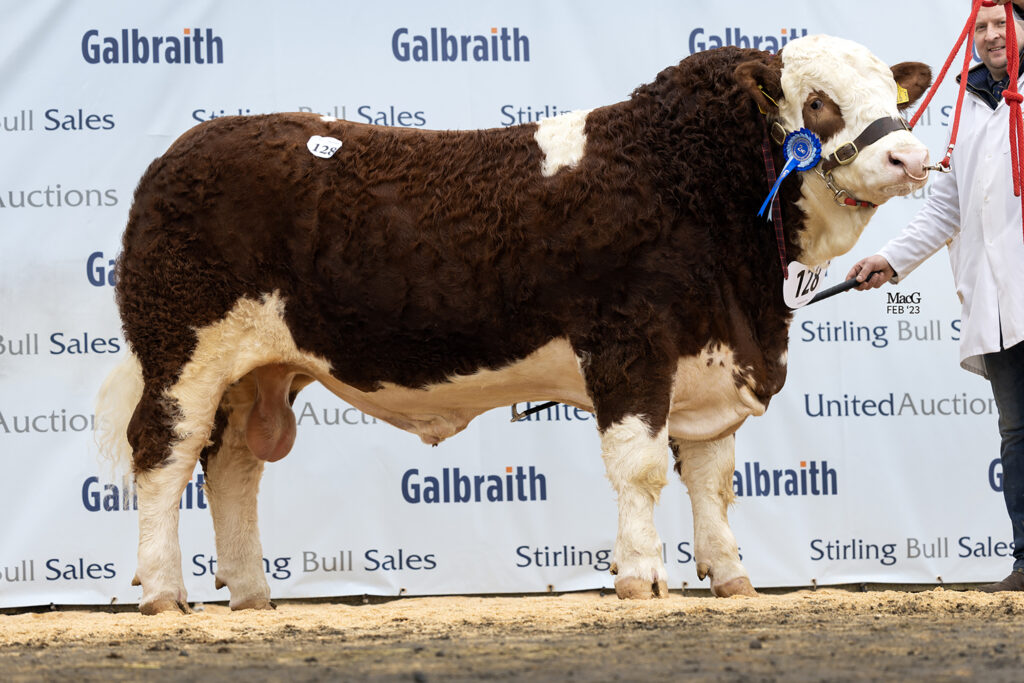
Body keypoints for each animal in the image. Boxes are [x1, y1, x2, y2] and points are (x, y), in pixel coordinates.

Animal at [96, 34, 932, 614]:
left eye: (890, 92)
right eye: (819, 101)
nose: (909, 155)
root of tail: (182, 153)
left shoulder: (714, 356)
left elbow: (713, 480)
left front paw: (732, 577)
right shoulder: (630, 346)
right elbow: (642, 467)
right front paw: (641, 576)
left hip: (260, 371)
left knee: (233, 467)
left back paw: (251, 594)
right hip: (182, 350)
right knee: (164, 456)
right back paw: (164, 593)